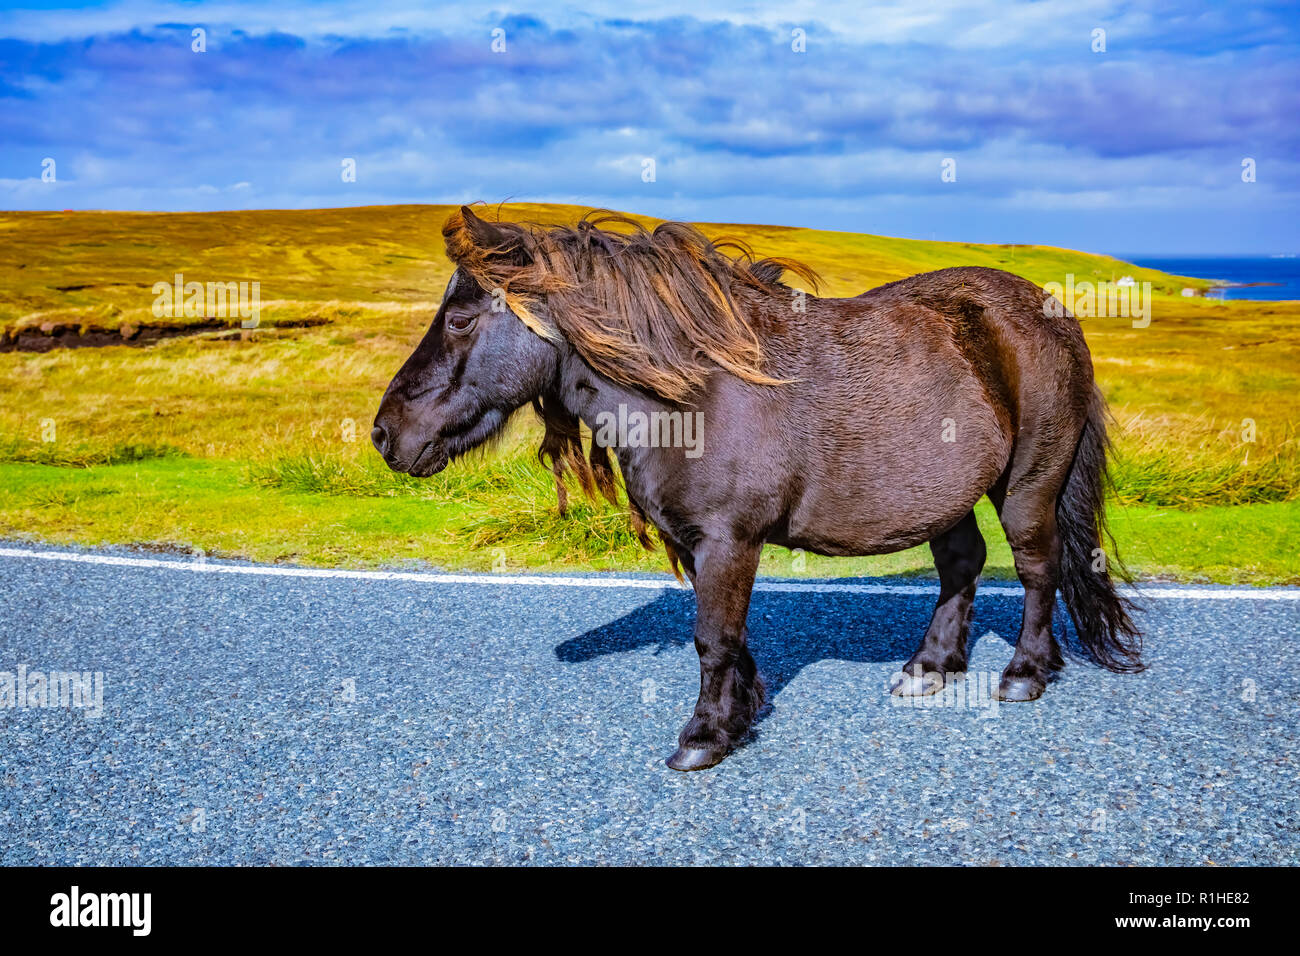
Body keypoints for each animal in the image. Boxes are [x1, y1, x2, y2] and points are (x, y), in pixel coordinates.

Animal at [372, 205, 1143, 772]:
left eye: (461, 318)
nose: (385, 434)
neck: (696, 392)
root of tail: (1047, 312)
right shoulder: (705, 544)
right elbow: (729, 637)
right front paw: (739, 715)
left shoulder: (727, 539)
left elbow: (712, 638)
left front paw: (703, 737)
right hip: (944, 495)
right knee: (961, 566)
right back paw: (930, 668)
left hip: (1029, 484)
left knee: (1037, 567)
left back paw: (1025, 672)